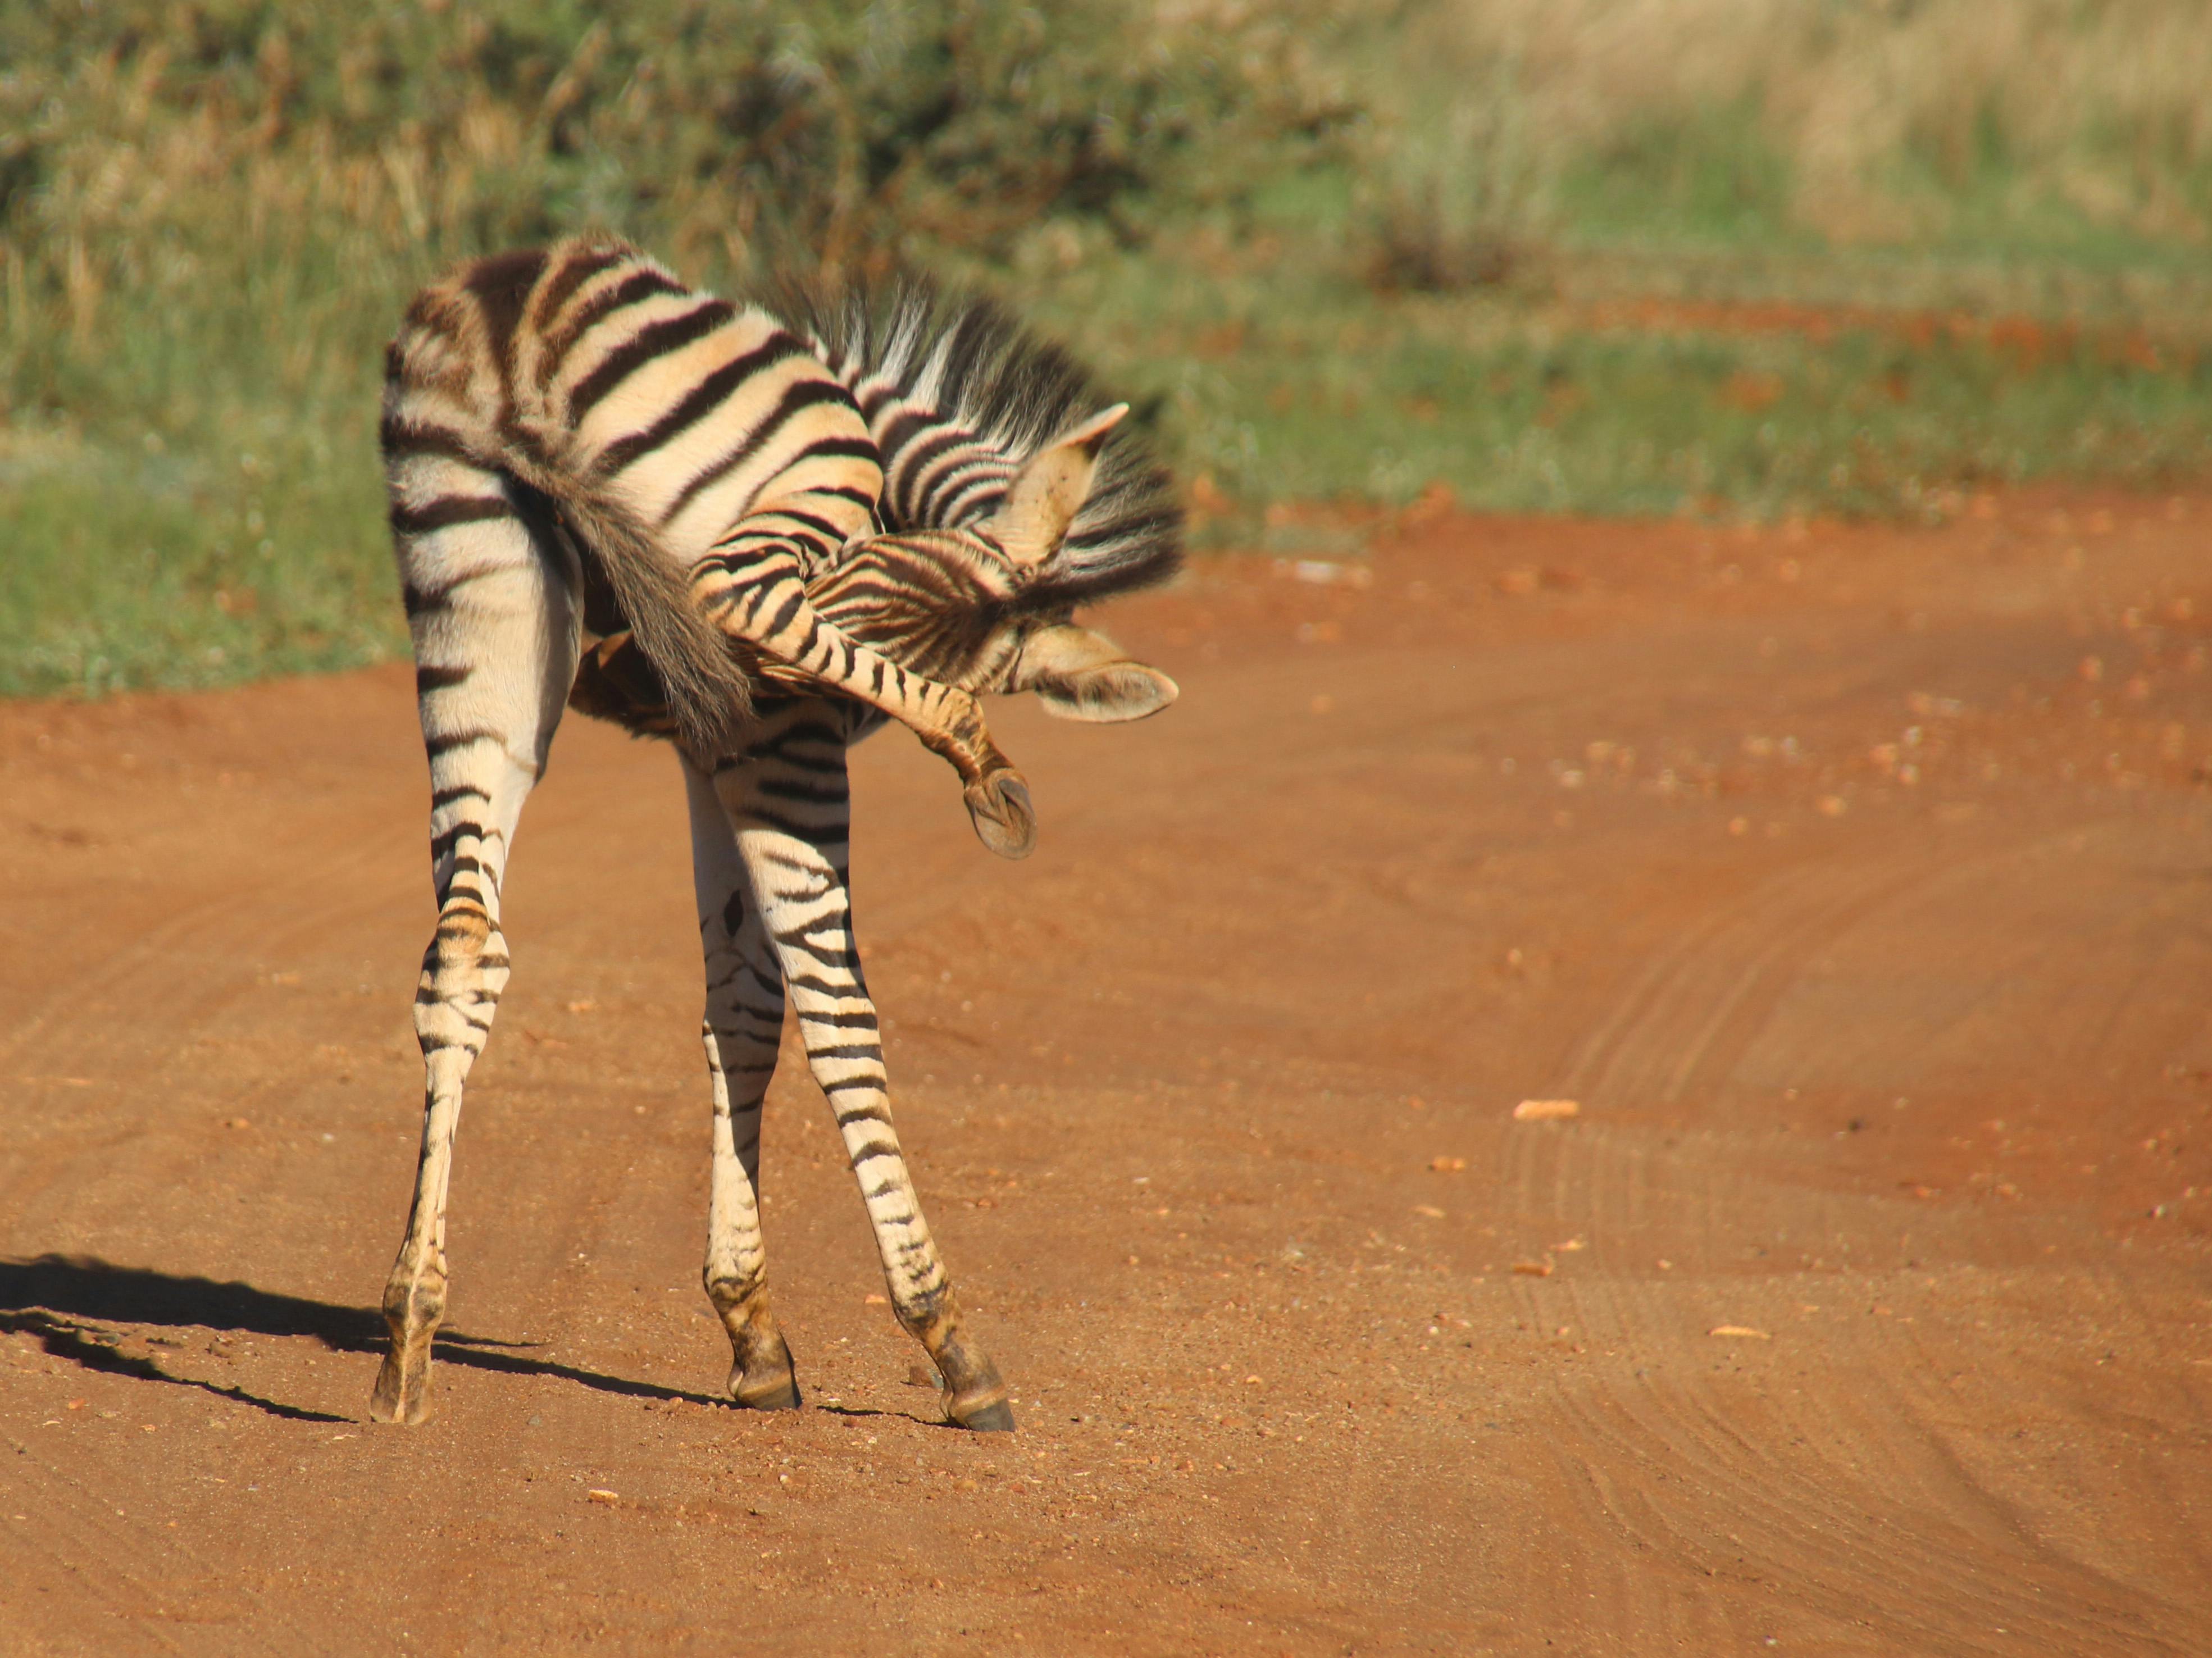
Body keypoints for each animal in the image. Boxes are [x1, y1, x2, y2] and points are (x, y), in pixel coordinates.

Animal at [372, 235, 1182, 1433]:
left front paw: (748, 1322)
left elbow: (739, 1009)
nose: (632, 679)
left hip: (477, 585)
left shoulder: (714, 748)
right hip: (782, 556)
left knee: (465, 947)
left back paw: (409, 1334)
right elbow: (801, 1006)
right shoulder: (772, 731)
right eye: (852, 570)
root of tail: (512, 334)